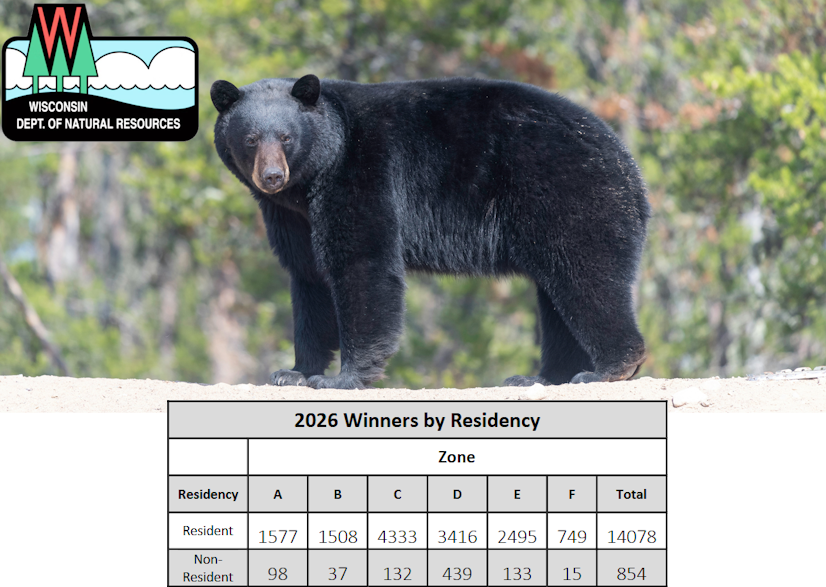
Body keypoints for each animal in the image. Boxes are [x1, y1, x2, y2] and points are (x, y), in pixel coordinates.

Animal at [211, 74, 650, 389]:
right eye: (250, 138)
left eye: (287, 137)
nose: (272, 176)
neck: (313, 176)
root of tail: (630, 168)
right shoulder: (291, 216)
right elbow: (308, 276)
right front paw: (293, 371)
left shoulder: (362, 173)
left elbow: (362, 262)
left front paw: (340, 379)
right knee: (557, 297)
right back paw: (540, 377)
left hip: (568, 195)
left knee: (586, 277)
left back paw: (608, 368)